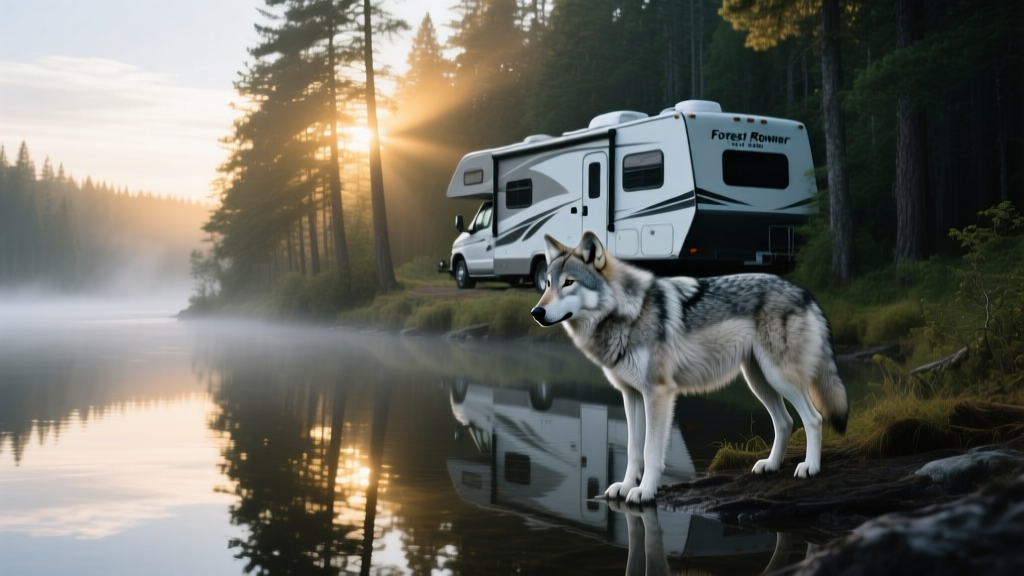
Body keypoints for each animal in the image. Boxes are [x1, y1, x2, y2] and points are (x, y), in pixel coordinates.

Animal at [530, 232, 848, 504]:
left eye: (569, 283)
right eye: (547, 285)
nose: (536, 312)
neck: (628, 313)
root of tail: (805, 293)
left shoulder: (657, 394)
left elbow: (650, 450)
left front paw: (644, 491)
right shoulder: (631, 395)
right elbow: (633, 450)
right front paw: (625, 486)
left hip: (779, 378)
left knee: (814, 418)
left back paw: (810, 468)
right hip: (759, 380)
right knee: (784, 421)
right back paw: (770, 465)